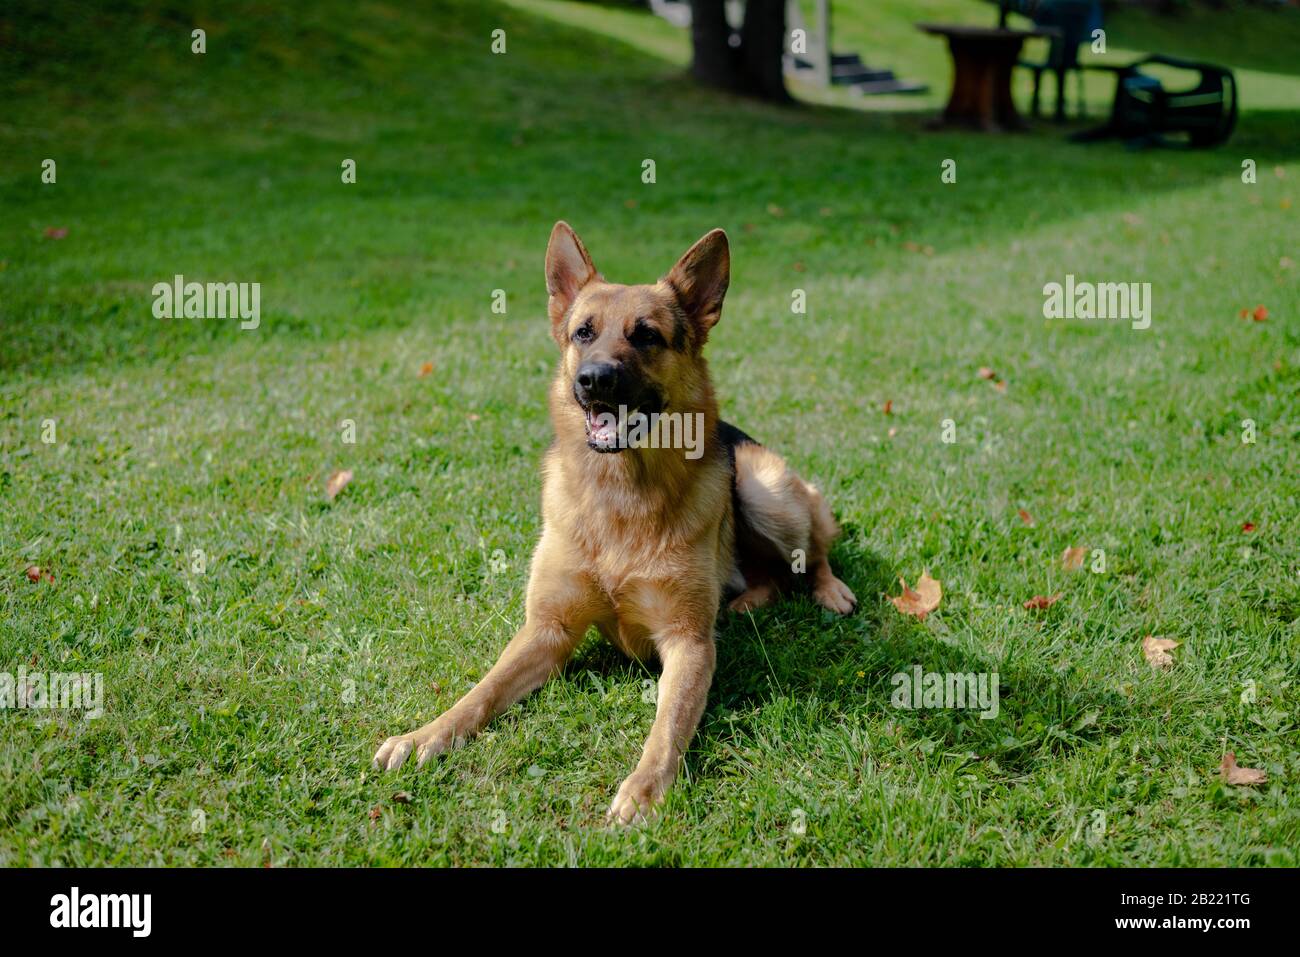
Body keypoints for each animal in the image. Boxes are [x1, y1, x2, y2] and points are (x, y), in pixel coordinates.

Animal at [371, 222, 857, 821]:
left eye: (646, 336)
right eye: (583, 332)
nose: (594, 380)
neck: (620, 496)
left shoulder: (688, 644)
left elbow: (667, 727)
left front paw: (645, 788)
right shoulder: (547, 630)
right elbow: (481, 690)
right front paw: (426, 734)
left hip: (762, 488)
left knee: (813, 549)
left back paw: (830, 589)